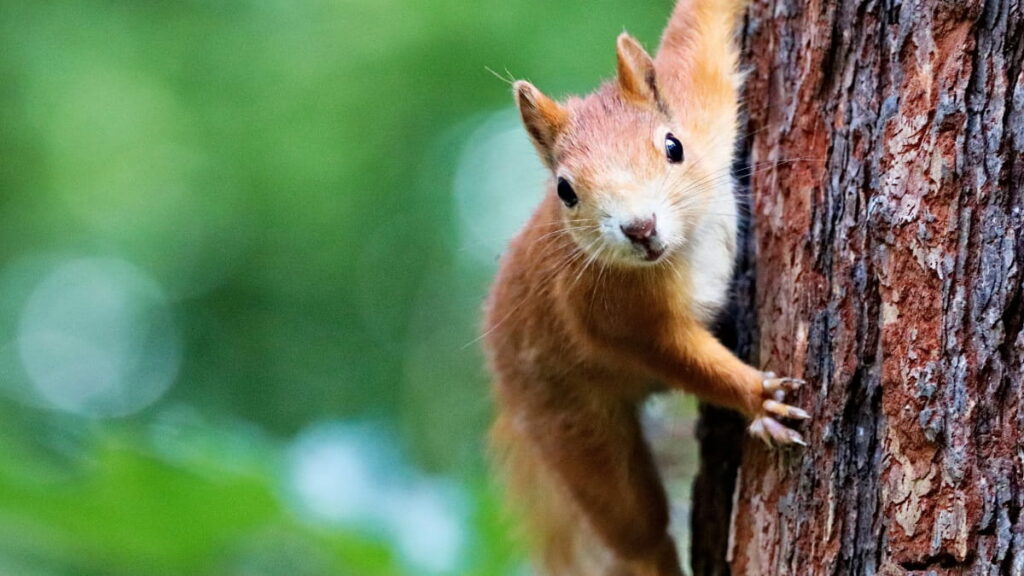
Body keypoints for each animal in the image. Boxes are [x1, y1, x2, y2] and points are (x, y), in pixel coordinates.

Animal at [482, 1, 810, 575]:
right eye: (565, 191)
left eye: (673, 146)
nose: (640, 228)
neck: (682, 247)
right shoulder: (608, 312)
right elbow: (678, 356)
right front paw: (757, 397)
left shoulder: (700, 102)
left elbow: (696, 31)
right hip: (568, 424)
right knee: (638, 530)